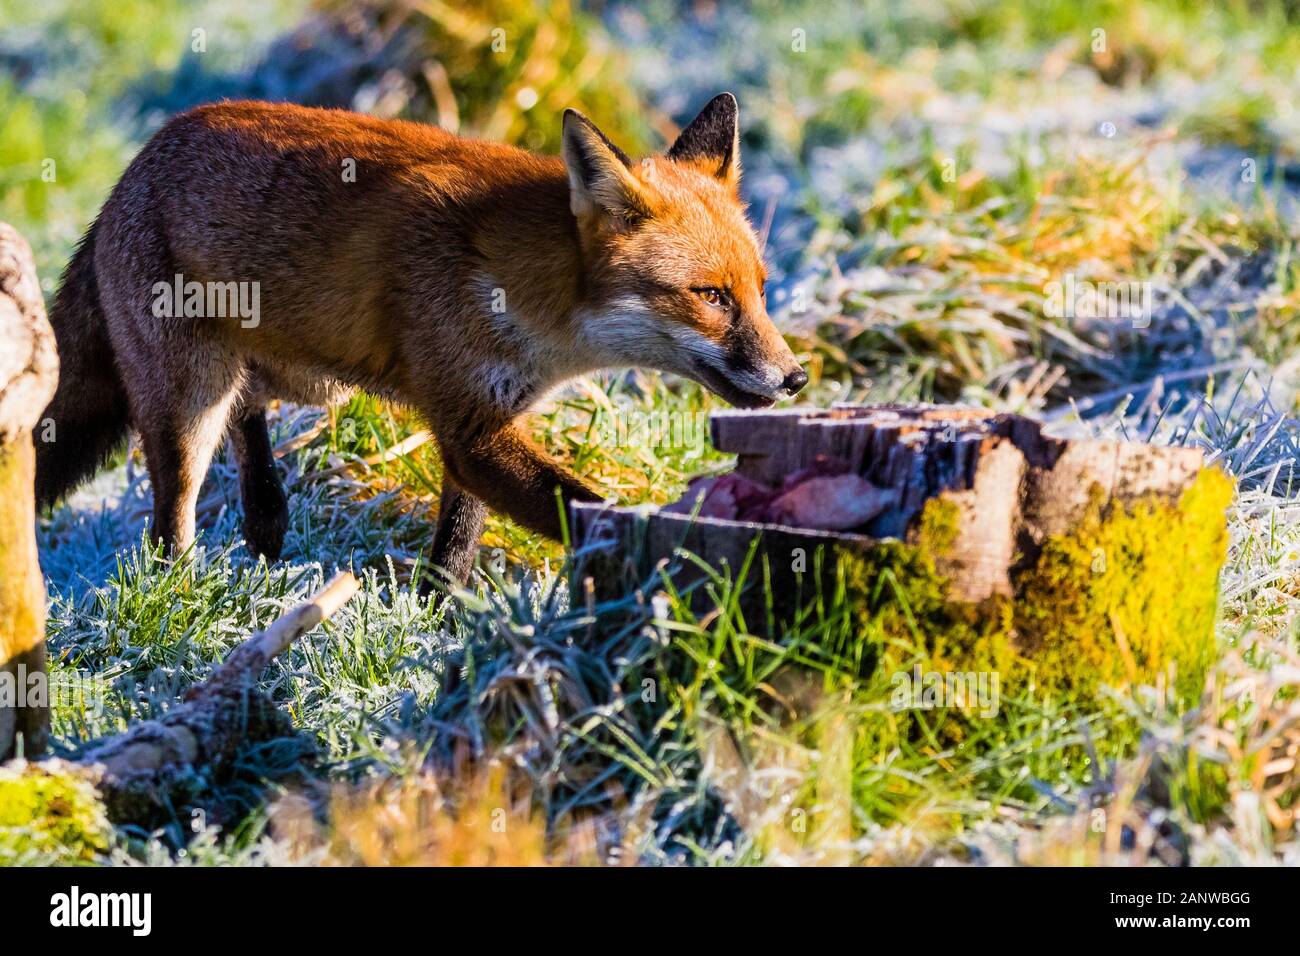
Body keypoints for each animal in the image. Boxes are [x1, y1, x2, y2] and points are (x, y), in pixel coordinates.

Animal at [34, 92, 807, 587]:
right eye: (710, 296)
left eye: (761, 290)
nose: (796, 378)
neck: (532, 297)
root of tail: (133, 167)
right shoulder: (469, 426)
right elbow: (585, 509)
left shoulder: (487, 421)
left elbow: (455, 549)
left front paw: (437, 619)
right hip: (186, 406)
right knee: (169, 530)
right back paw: (185, 599)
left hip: (282, 373)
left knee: (249, 415)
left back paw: (267, 519)